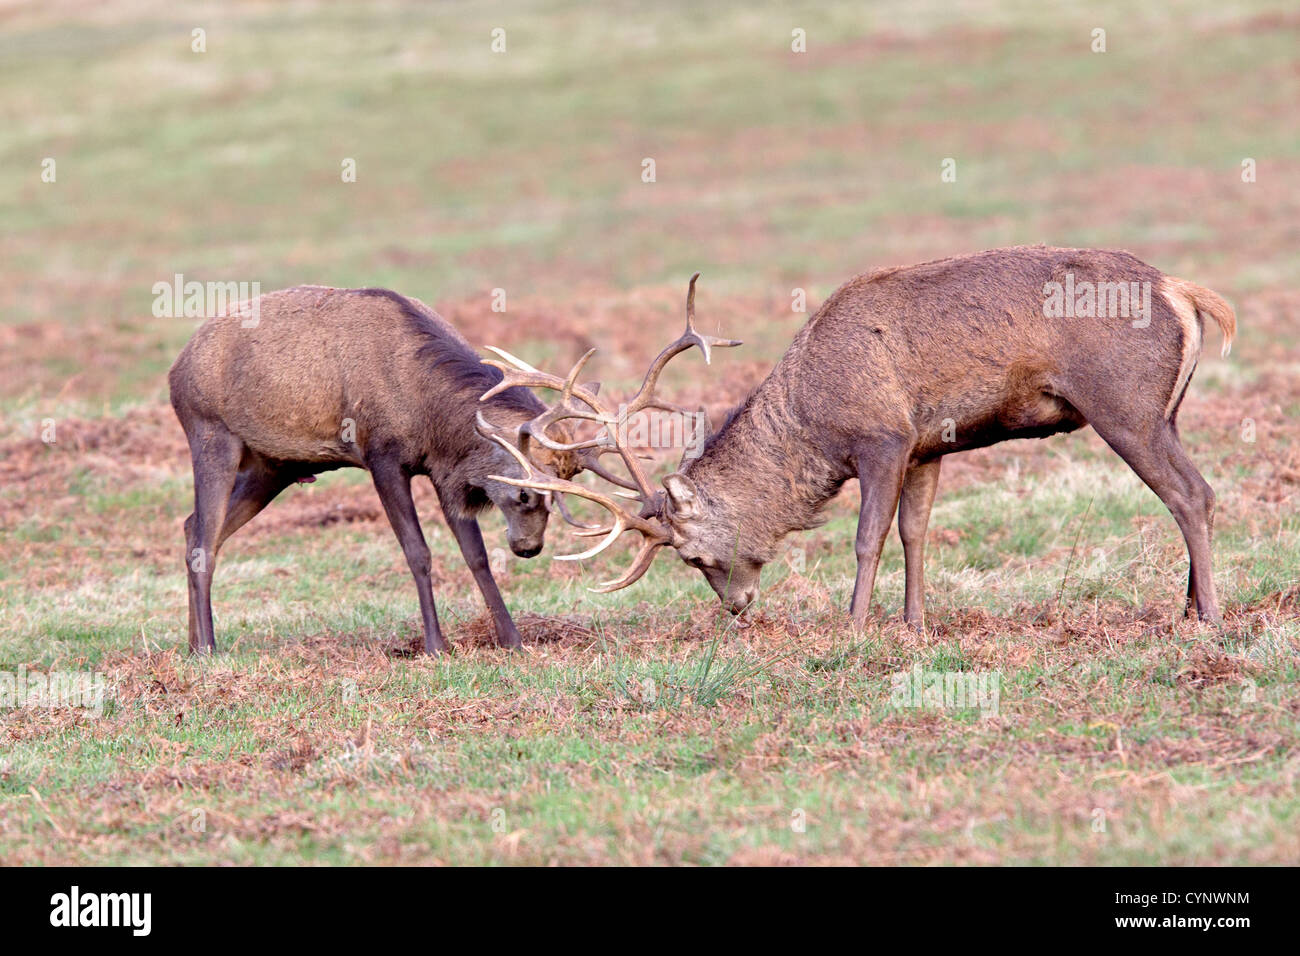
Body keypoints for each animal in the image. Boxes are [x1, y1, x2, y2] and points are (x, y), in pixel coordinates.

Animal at [168, 285, 593, 655]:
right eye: (524, 492)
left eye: (559, 495)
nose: (529, 548)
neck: (430, 412)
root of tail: (175, 371)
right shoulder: (382, 456)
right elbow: (417, 552)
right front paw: (436, 646)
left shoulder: (444, 470)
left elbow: (476, 555)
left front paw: (512, 639)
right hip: (210, 433)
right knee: (204, 539)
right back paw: (207, 649)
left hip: (273, 466)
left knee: (193, 527)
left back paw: (191, 645)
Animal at [484, 247, 1236, 631]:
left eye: (693, 557)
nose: (737, 608)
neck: (812, 421)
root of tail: (1186, 292)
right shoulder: (930, 445)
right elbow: (915, 532)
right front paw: (913, 624)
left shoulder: (882, 438)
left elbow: (867, 536)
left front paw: (852, 628)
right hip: (1164, 411)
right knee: (1192, 493)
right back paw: (1190, 604)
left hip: (1125, 406)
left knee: (1192, 494)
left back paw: (1208, 618)